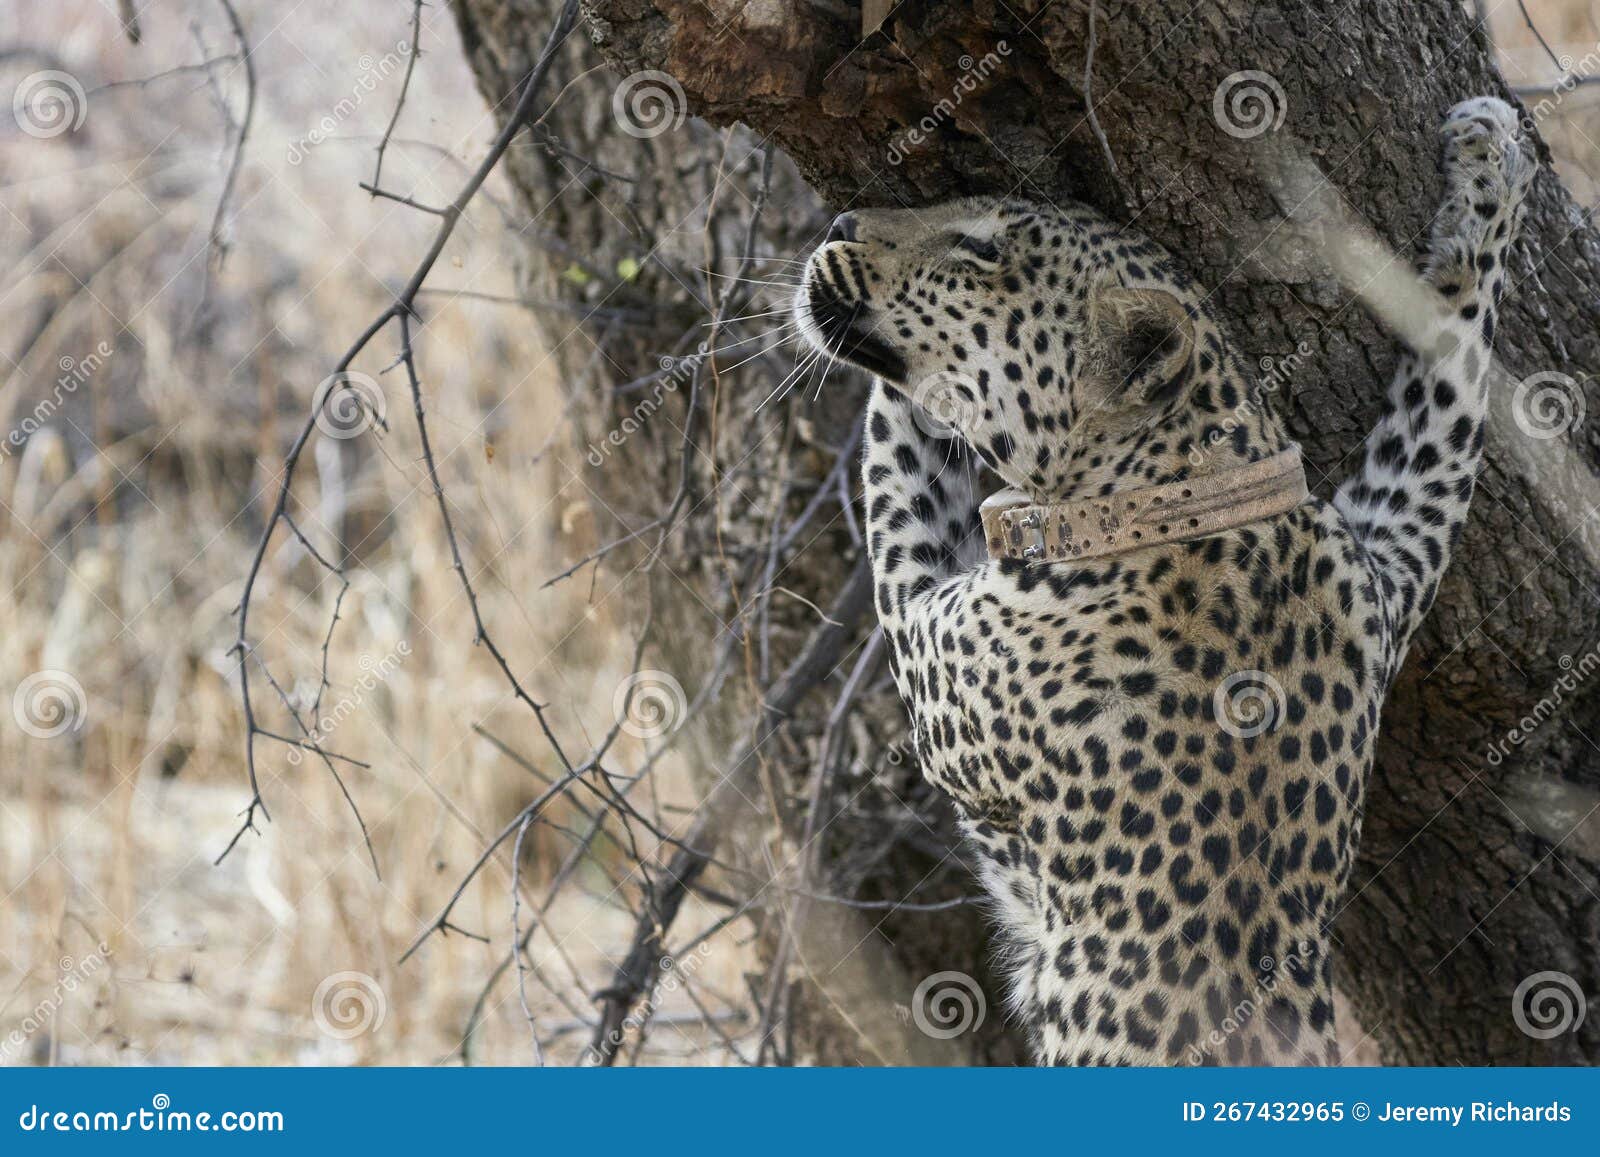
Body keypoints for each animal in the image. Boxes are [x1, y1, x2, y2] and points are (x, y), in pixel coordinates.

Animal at [792, 97, 1534, 1065]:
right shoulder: (1385, 565)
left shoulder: (932, 669)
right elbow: (1450, 380)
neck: (1198, 494)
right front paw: (1489, 170)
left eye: (981, 249)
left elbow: (900, 478)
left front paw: (897, 386)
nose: (839, 222)